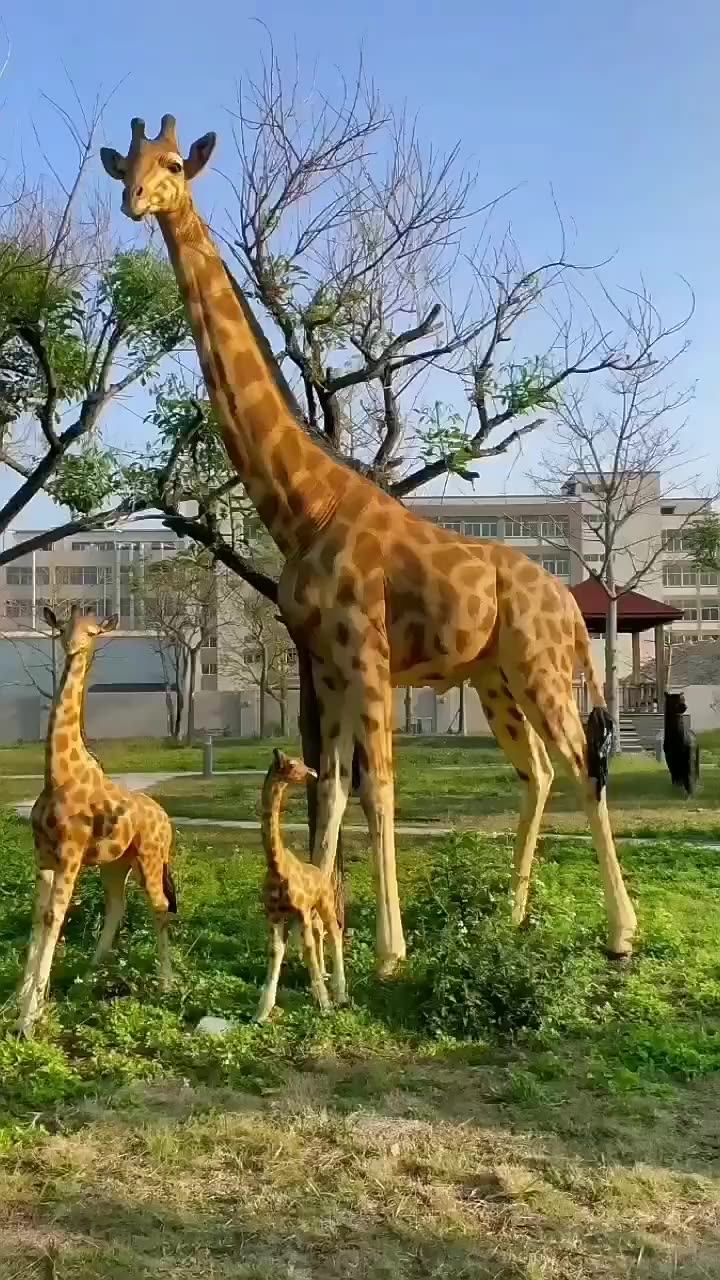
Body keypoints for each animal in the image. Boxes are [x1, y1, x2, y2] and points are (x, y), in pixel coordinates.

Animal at [16, 606, 177, 1037]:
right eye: (60, 628)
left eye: (91, 632)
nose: (73, 647)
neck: (56, 774)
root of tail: (167, 821)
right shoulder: (44, 855)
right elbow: (39, 918)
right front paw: (22, 1004)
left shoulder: (70, 854)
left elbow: (54, 917)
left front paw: (28, 1019)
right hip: (115, 863)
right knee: (117, 906)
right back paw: (89, 975)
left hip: (150, 858)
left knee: (159, 907)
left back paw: (166, 981)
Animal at [101, 115, 637, 974]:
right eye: (126, 168)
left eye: (176, 165)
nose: (136, 202)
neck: (303, 506)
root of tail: (567, 599)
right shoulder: (322, 661)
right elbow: (331, 786)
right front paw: (320, 934)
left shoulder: (369, 653)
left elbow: (379, 786)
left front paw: (389, 950)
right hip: (494, 678)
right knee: (540, 772)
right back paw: (513, 916)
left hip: (541, 665)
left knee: (584, 766)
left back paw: (621, 934)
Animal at [255, 749, 347, 1023]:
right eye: (294, 764)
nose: (313, 771)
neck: (277, 867)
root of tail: (321, 873)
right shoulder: (275, 915)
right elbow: (276, 952)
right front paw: (261, 1013)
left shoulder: (301, 910)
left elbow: (307, 950)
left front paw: (325, 1005)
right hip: (310, 914)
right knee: (319, 933)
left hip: (324, 902)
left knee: (334, 932)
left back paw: (340, 993)